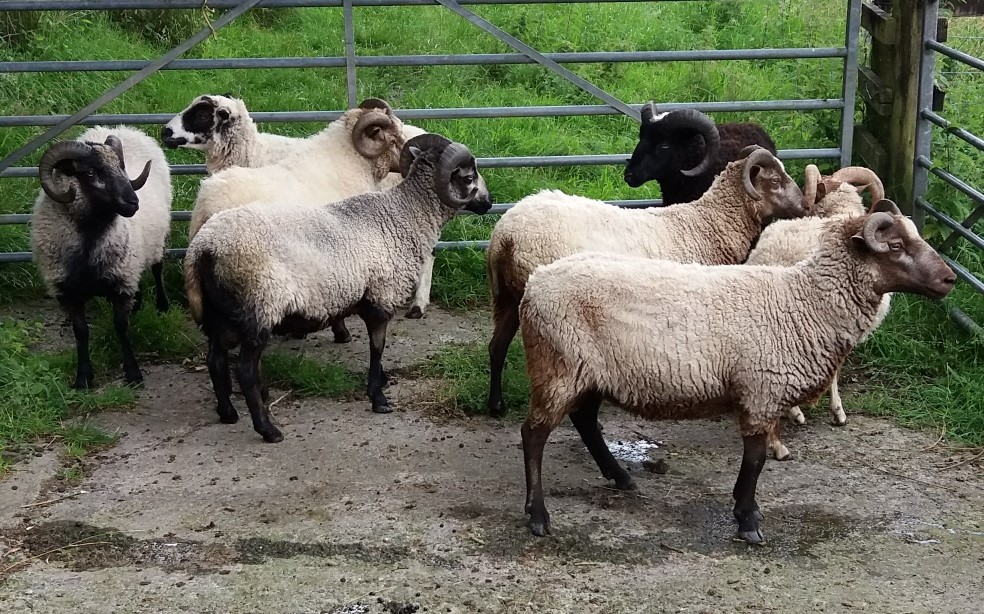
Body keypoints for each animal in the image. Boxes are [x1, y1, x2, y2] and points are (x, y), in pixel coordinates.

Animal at [30, 125, 172, 389]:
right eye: (90, 172)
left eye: (122, 167)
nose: (133, 202)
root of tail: (123, 128)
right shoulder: (67, 291)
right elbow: (81, 331)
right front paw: (83, 377)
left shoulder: (120, 284)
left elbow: (121, 327)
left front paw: (133, 374)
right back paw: (138, 305)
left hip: (157, 239)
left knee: (157, 267)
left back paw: (162, 305)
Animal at [183, 134, 492, 443]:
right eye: (468, 177)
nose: (489, 203)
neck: (404, 215)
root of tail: (204, 248)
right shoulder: (381, 296)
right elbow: (377, 348)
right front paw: (378, 397)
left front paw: (380, 382)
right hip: (258, 308)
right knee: (245, 371)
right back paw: (268, 429)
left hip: (218, 312)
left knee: (215, 359)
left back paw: (227, 413)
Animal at [486, 146, 808, 418]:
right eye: (775, 180)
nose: (805, 205)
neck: (704, 226)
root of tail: (505, 234)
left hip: (507, 296)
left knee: (496, 346)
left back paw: (496, 406)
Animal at [517, 201, 956, 544]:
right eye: (896, 247)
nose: (949, 278)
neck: (804, 303)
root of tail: (535, 284)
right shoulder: (762, 390)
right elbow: (756, 461)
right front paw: (747, 520)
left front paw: (744, 511)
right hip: (557, 365)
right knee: (534, 435)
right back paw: (538, 514)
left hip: (588, 371)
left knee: (585, 421)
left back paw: (619, 476)